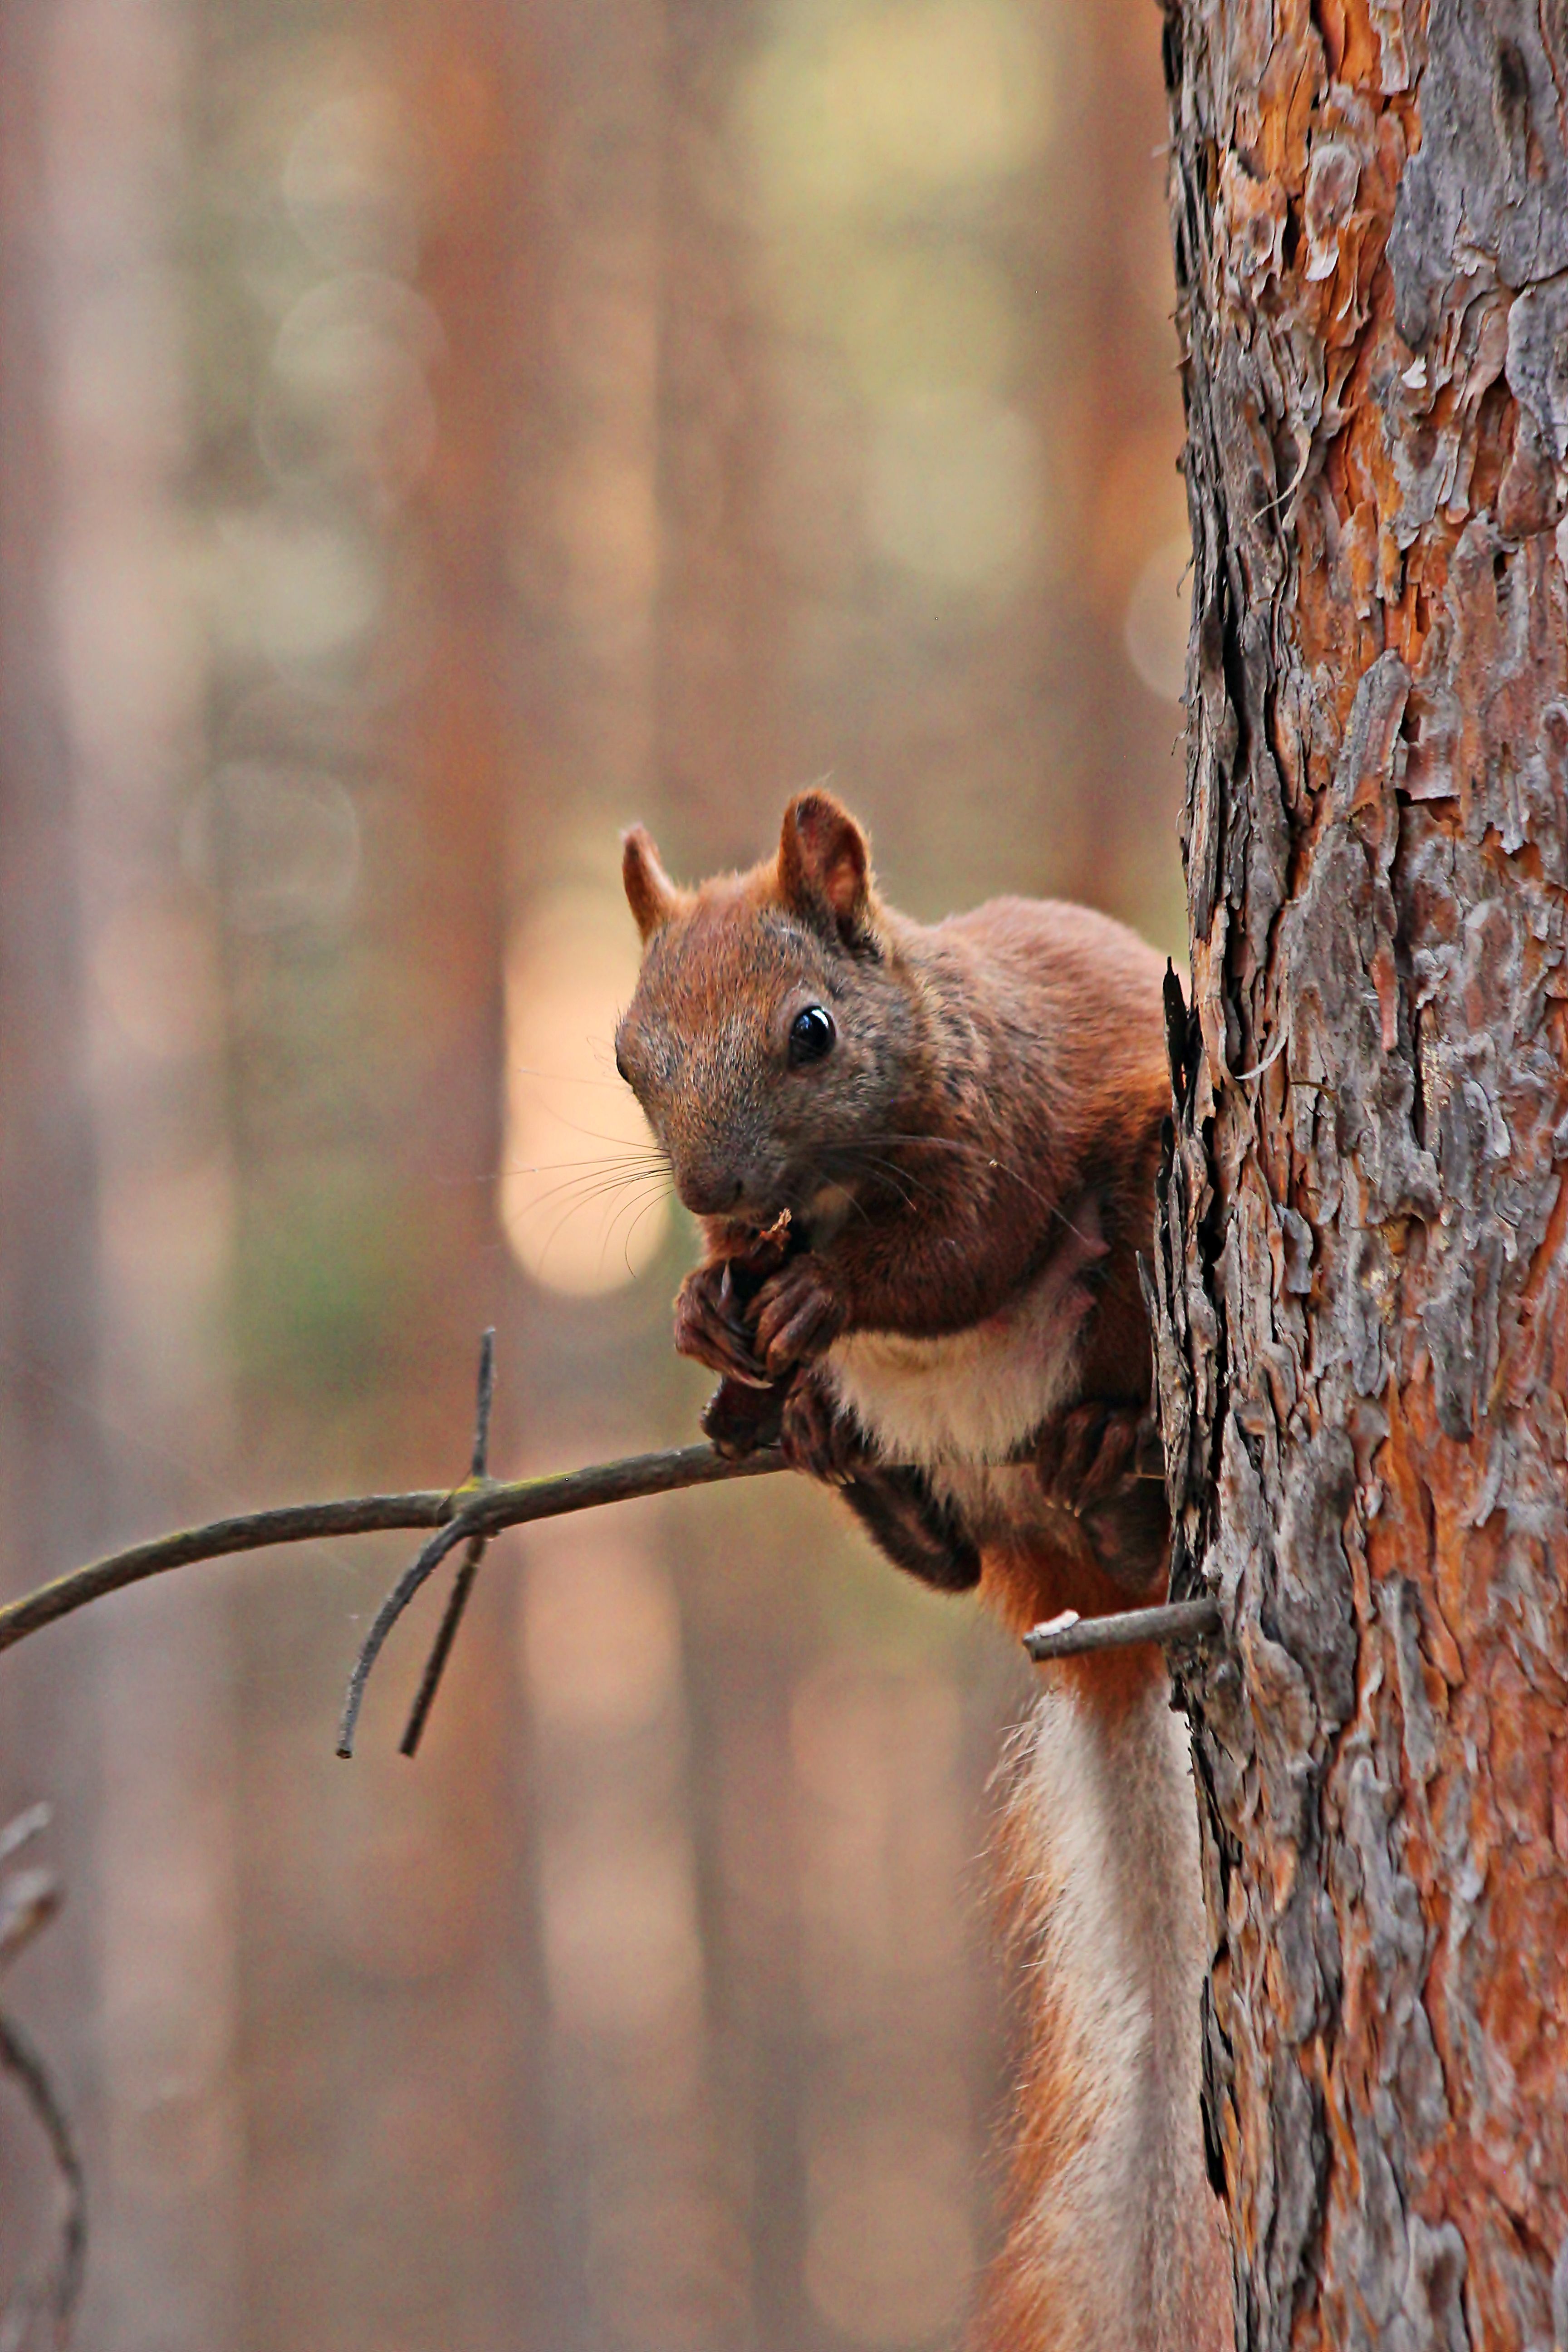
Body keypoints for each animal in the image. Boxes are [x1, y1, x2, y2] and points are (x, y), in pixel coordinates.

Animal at [614, 790, 1233, 2352]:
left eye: (813, 1031)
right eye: (627, 1057)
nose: (710, 1187)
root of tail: (1075, 1578)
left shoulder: (1005, 1121)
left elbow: (954, 1257)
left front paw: (830, 1294)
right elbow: (738, 1283)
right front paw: (701, 1307)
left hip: (1140, 1197)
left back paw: (1111, 1468)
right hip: (944, 1480)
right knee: (944, 1560)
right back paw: (840, 1456)